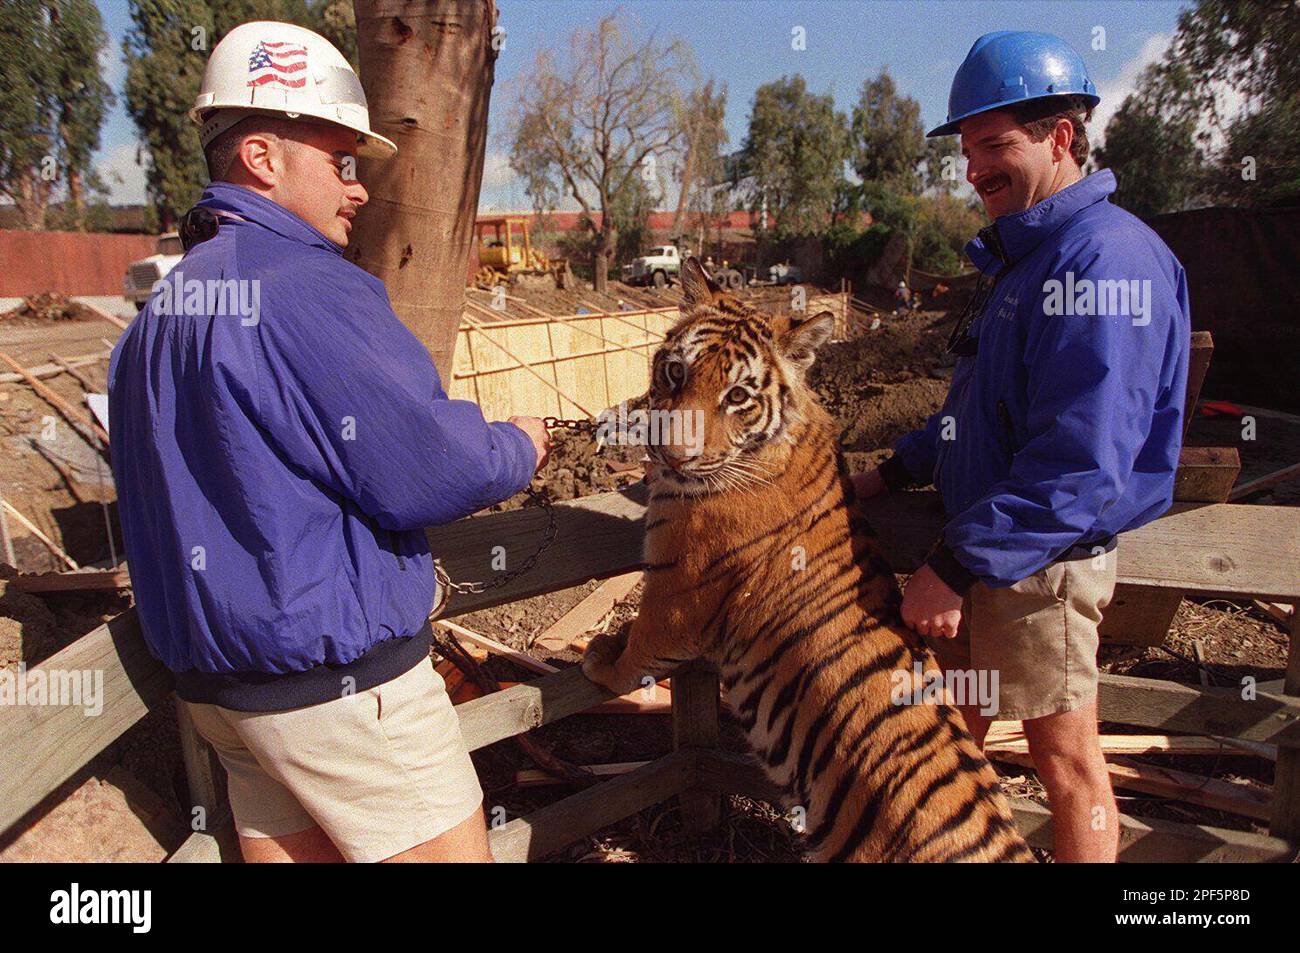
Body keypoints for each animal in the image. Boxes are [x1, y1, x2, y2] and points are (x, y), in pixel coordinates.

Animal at [581, 256, 1033, 863]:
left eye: (737, 396)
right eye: (675, 372)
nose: (670, 456)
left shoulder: (677, 595)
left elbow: (640, 649)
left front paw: (602, 658)